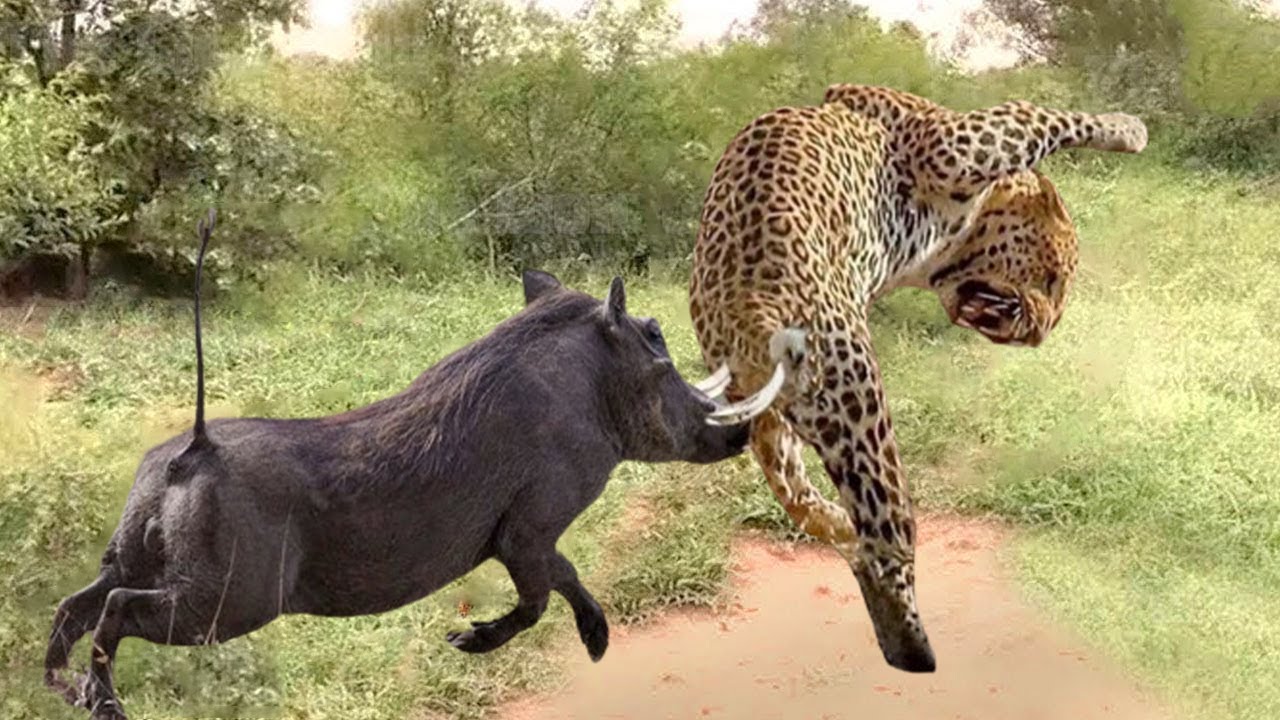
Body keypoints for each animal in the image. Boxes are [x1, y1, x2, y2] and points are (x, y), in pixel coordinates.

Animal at [689, 83, 1147, 673]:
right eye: (1052, 279)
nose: (1042, 334)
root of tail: (748, 320)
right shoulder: (954, 142)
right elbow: (1043, 115)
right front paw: (1129, 129)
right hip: (859, 405)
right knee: (887, 540)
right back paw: (910, 648)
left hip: (773, 424)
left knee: (803, 500)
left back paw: (839, 528)